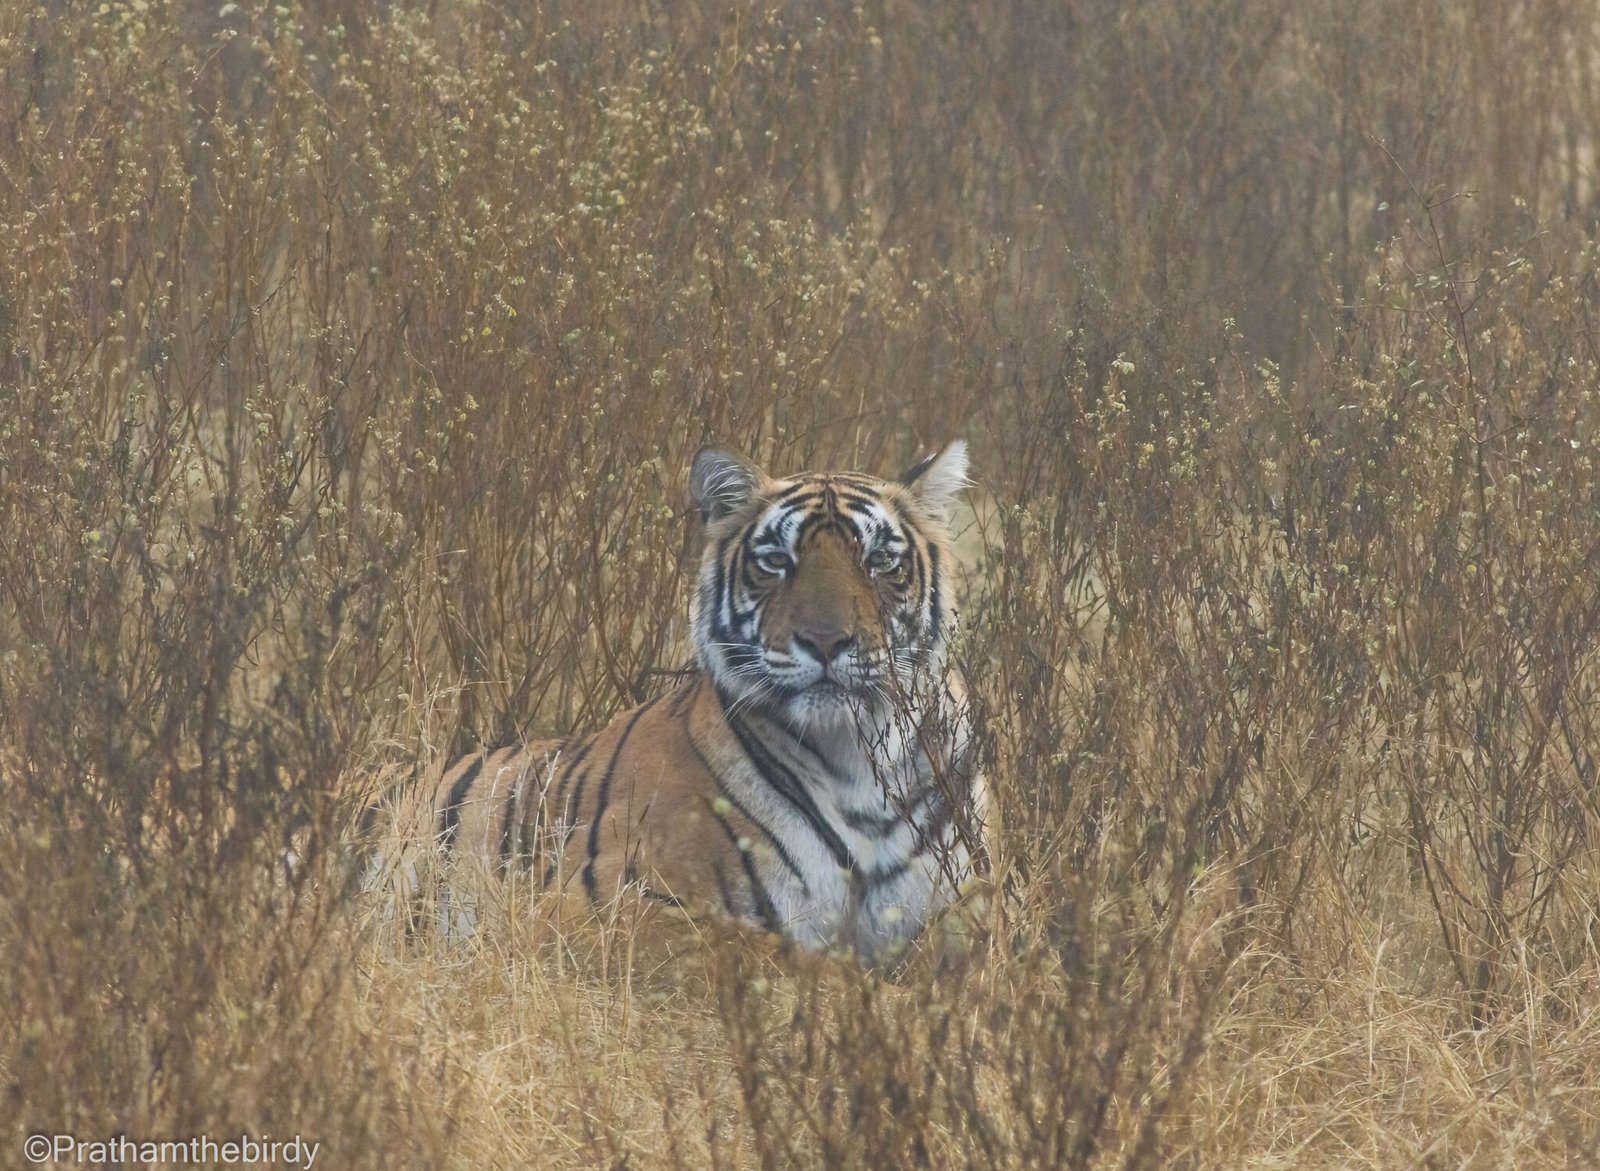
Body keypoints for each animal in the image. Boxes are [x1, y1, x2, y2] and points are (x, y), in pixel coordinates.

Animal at [411, 441, 984, 963]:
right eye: (776, 561)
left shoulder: (962, 906)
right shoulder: (601, 897)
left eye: (880, 560)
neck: (858, 761)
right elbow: (775, 955)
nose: (825, 641)